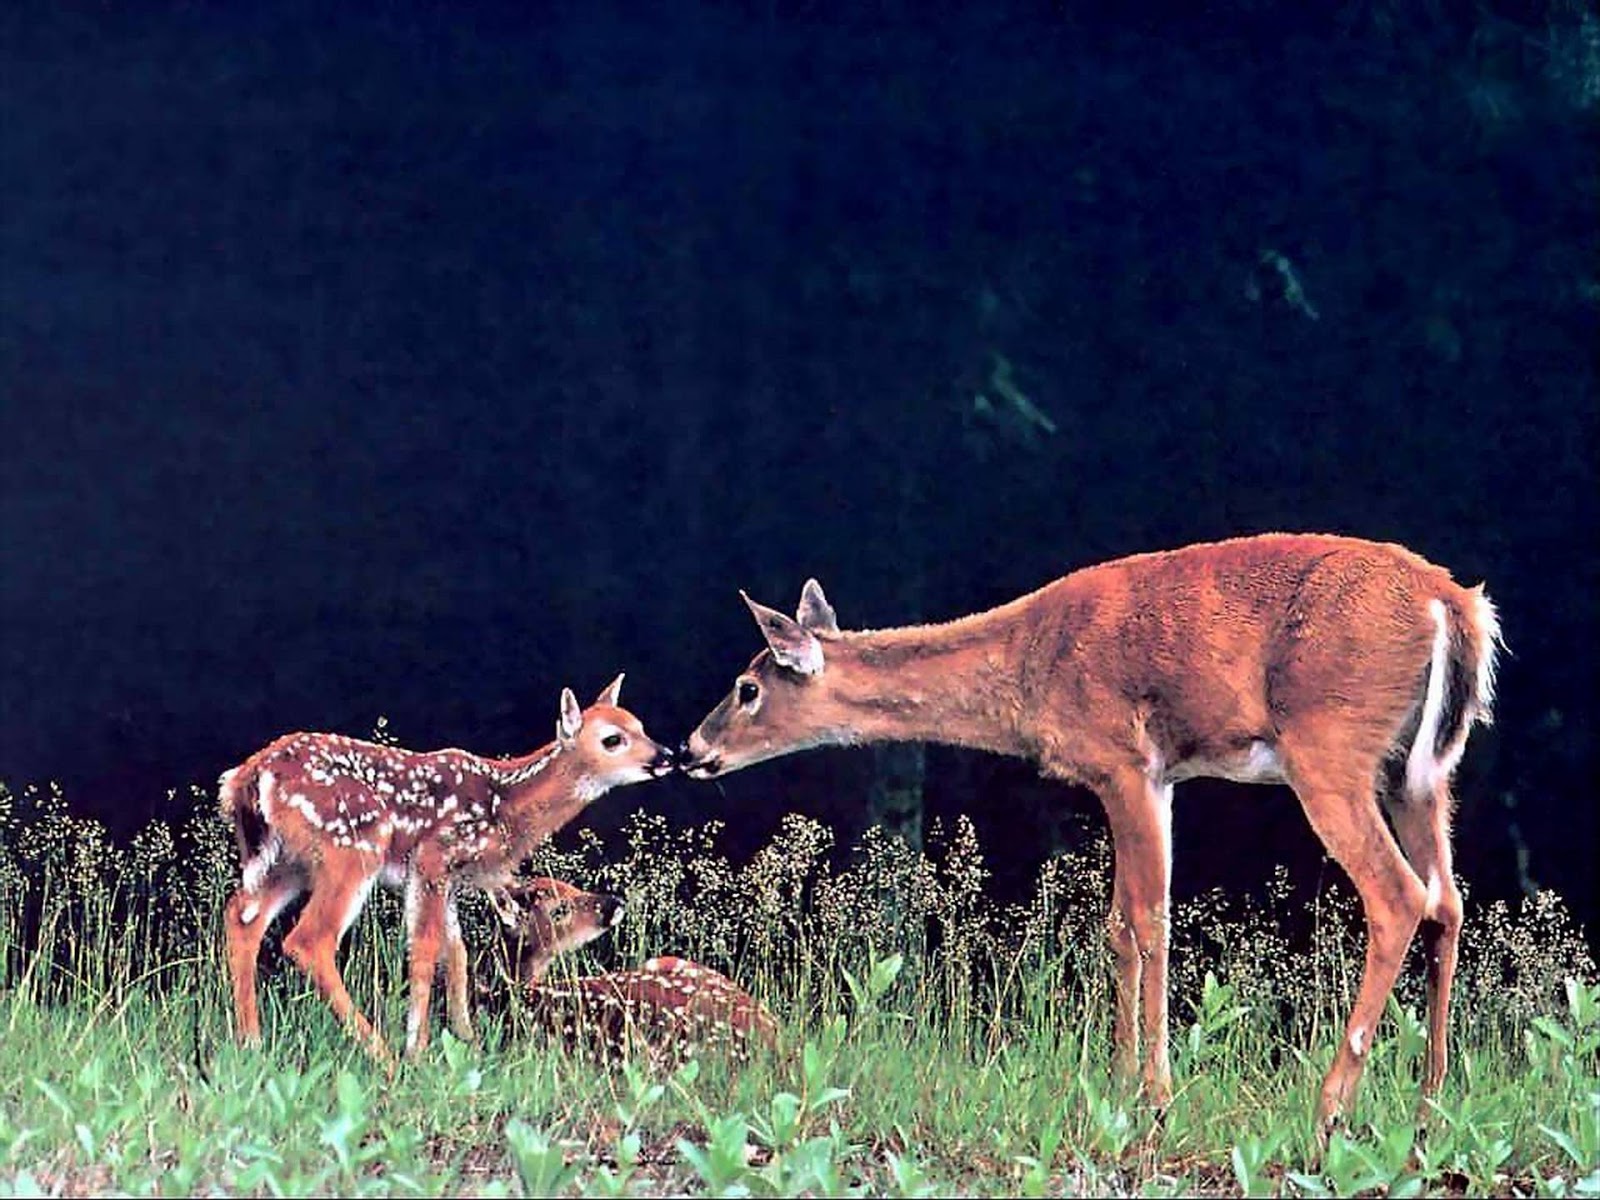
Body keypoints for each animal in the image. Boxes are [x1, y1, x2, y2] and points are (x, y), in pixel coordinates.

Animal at [219, 675, 675, 1067]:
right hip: (351, 849)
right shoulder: (432, 859)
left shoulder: (450, 878)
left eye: (640, 725)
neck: (505, 806)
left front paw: (466, 1041)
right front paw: (417, 1051)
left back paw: (250, 1044)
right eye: (613, 739)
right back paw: (382, 1057)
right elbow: (424, 948)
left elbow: (456, 952)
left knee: (243, 915)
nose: (668, 755)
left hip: (286, 861)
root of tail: (250, 775)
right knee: (309, 940)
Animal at [676, 533, 1502, 1132]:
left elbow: (1149, 918)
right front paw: (1118, 1079)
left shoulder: (1124, 760)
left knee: (1399, 895)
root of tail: (1452, 606)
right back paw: (1430, 1106)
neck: (1029, 672)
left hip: (1331, 748)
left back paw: (1330, 1106)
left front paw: (1157, 1096)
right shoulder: (1155, 777)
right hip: (1420, 773)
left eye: (747, 688)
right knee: (1448, 901)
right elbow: (1118, 925)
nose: (691, 749)